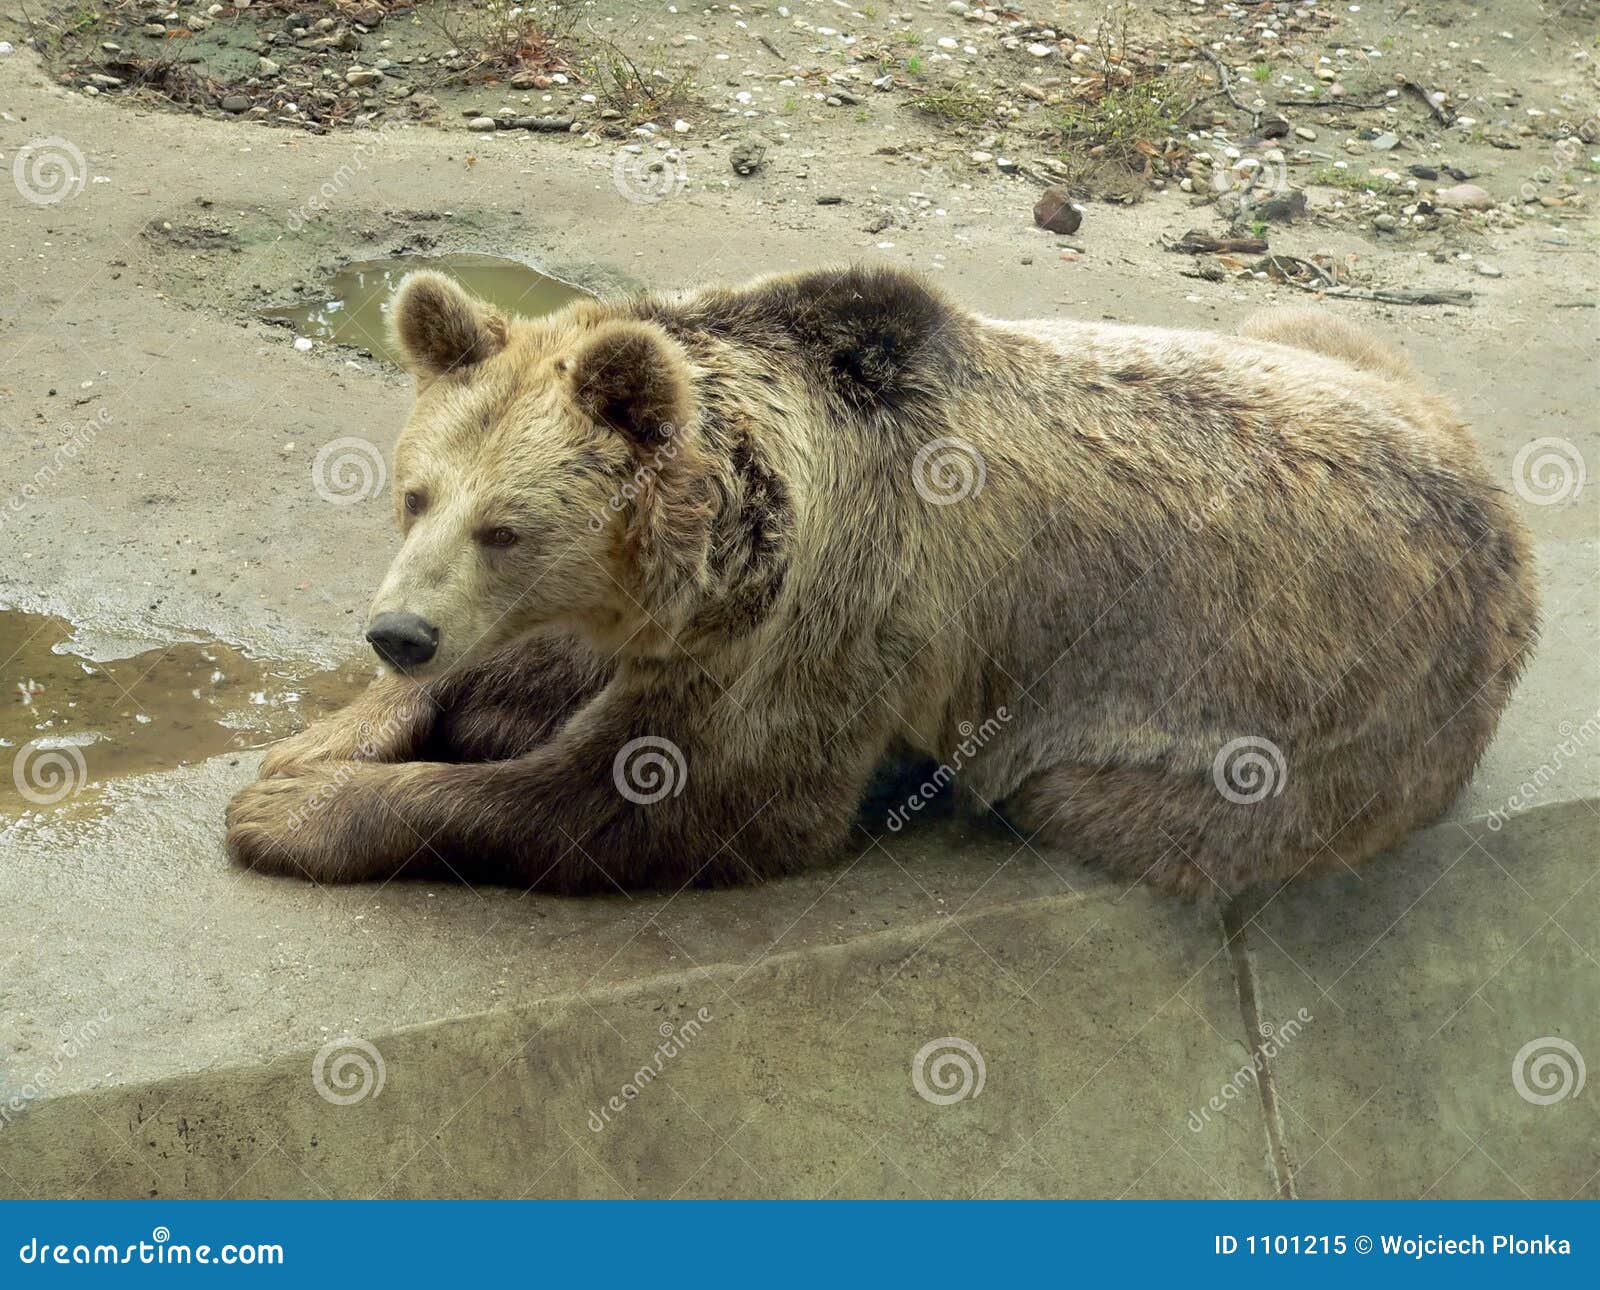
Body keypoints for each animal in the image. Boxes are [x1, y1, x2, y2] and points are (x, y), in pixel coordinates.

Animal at [226, 264, 1539, 899]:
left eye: (506, 527)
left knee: (1089, 803)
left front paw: (291, 811)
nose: (398, 630)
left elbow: (658, 803)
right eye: (414, 494)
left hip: (1290, 750)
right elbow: (542, 672)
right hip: (1328, 345)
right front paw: (322, 744)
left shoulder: (839, 608)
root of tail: (1506, 532)